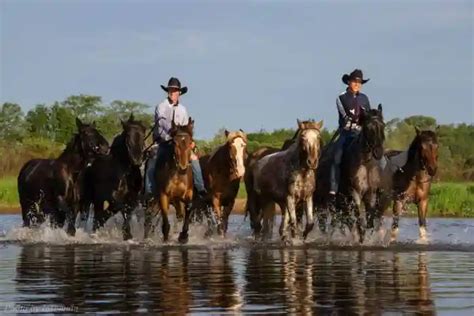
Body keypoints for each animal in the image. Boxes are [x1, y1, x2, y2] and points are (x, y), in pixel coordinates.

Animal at [314, 103, 386, 242]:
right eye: (368, 127)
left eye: (383, 125)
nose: (379, 152)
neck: (365, 164)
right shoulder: (354, 193)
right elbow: (359, 219)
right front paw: (361, 239)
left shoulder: (370, 194)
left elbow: (369, 221)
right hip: (321, 201)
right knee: (324, 223)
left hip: (336, 203)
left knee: (339, 221)